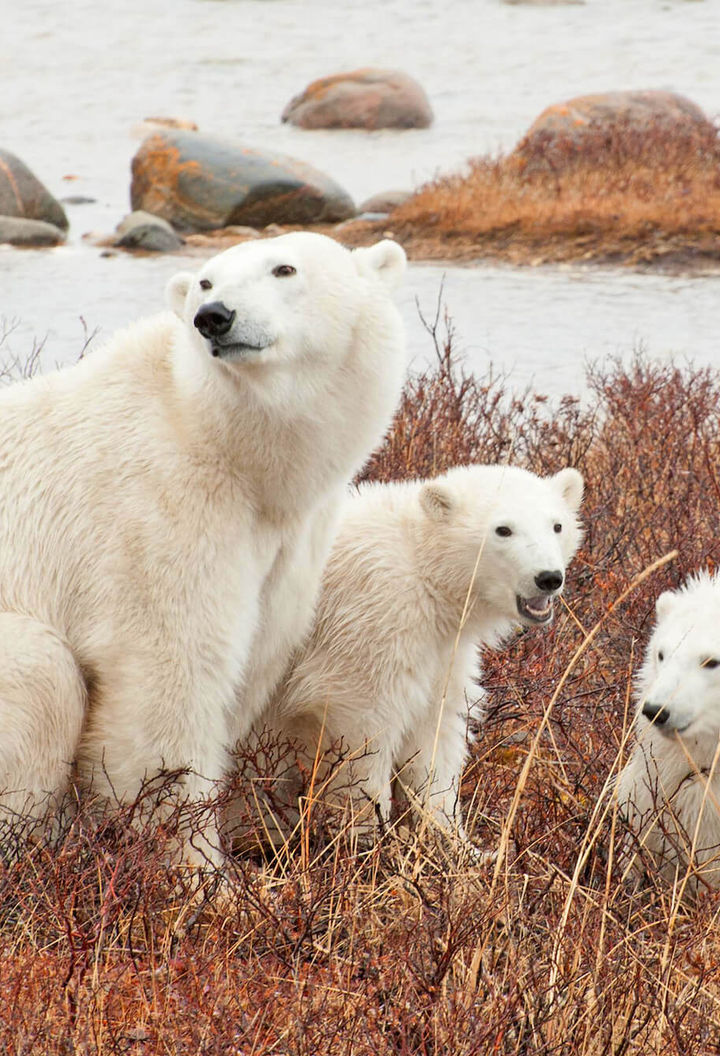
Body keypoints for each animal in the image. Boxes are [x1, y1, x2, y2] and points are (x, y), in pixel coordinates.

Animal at [0, 231, 407, 868]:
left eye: (284, 268)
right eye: (206, 281)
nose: (213, 317)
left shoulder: (287, 546)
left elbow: (255, 657)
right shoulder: (158, 510)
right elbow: (168, 680)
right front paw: (200, 872)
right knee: (42, 675)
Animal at [245, 462, 584, 845]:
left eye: (557, 525)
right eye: (503, 529)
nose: (548, 578)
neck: (421, 565)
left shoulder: (442, 650)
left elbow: (435, 734)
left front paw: (457, 842)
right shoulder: (373, 620)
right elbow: (363, 731)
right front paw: (368, 837)